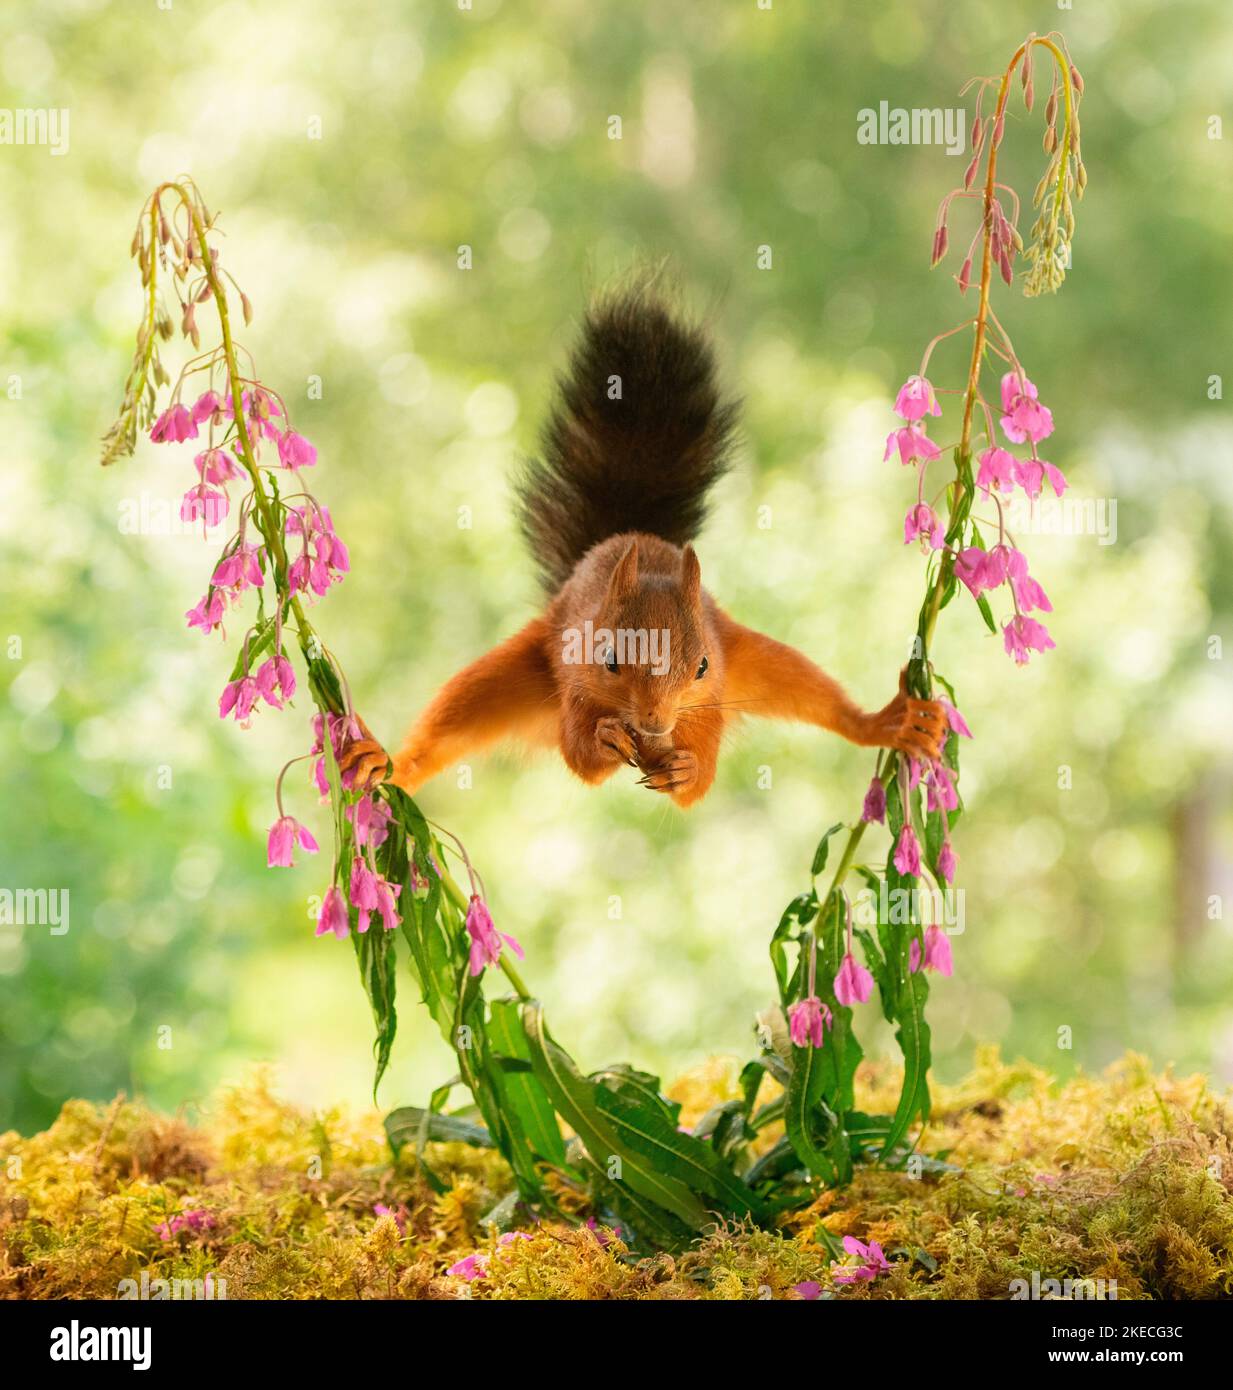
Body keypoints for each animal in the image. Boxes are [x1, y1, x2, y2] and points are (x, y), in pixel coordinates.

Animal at [343, 284, 946, 808]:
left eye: (700, 667)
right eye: (609, 658)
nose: (655, 724)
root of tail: (627, 537)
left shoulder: (710, 700)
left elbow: (698, 787)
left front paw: (686, 770)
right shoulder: (575, 683)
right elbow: (580, 757)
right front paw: (604, 740)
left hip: (750, 656)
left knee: (815, 695)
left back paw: (886, 722)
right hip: (523, 669)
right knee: (449, 727)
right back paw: (385, 764)